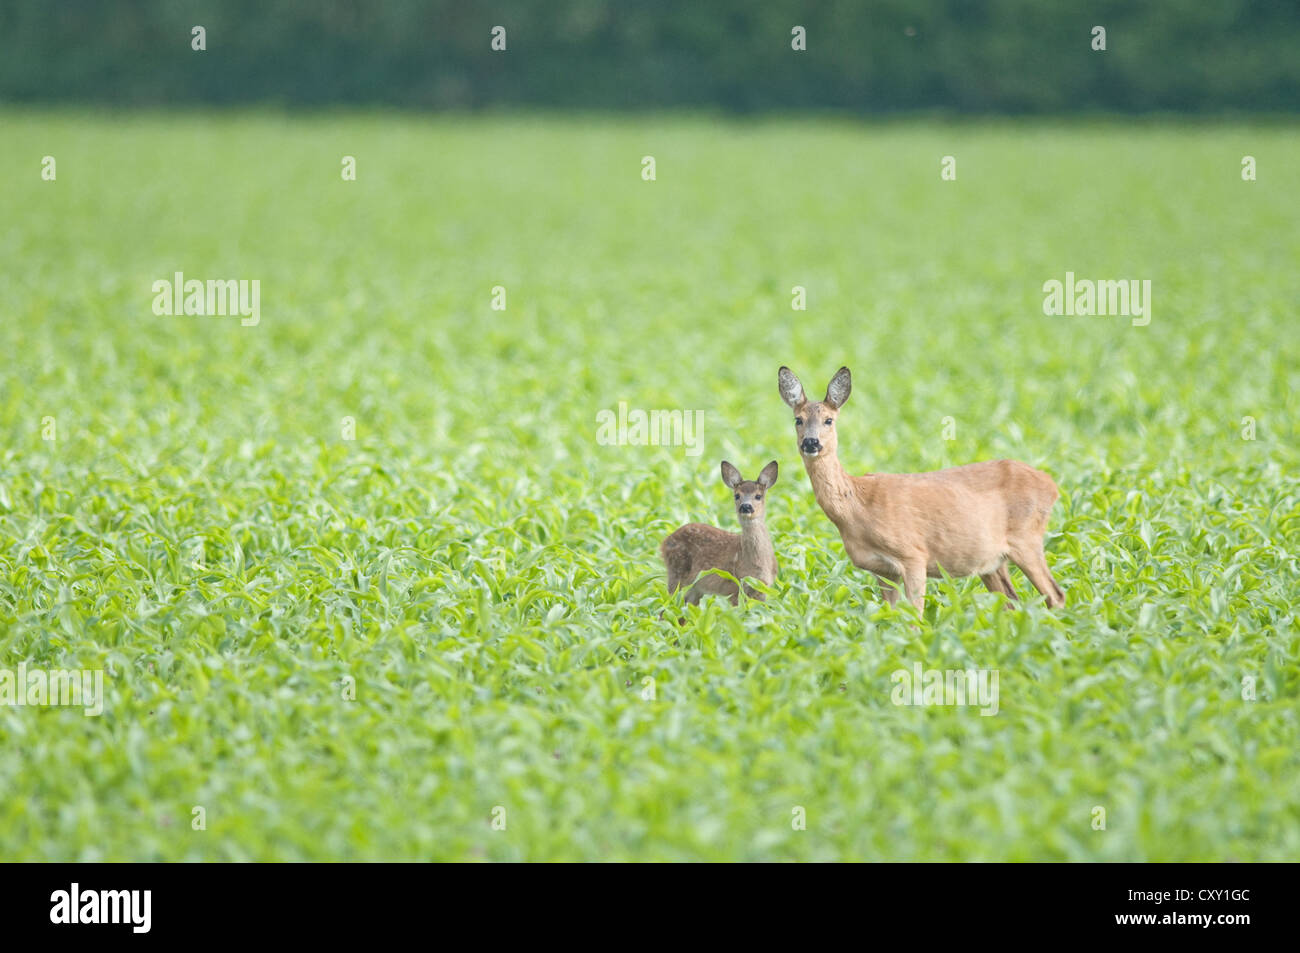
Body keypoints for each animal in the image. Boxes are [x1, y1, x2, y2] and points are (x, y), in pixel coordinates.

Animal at [660, 460, 779, 610]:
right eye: (737, 495)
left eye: (758, 496)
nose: (746, 506)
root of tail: (664, 543)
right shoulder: (735, 586)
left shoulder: (763, 589)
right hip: (677, 573)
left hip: (695, 588)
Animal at [777, 366, 1065, 612]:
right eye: (798, 420)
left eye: (829, 420)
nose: (811, 443)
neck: (857, 506)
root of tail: (1051, 485)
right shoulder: (883, 570)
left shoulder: (914, 555)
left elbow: (914, 616)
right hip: (992, 562)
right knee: (1012, 601)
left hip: (1027, 539)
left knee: (1056, 595)